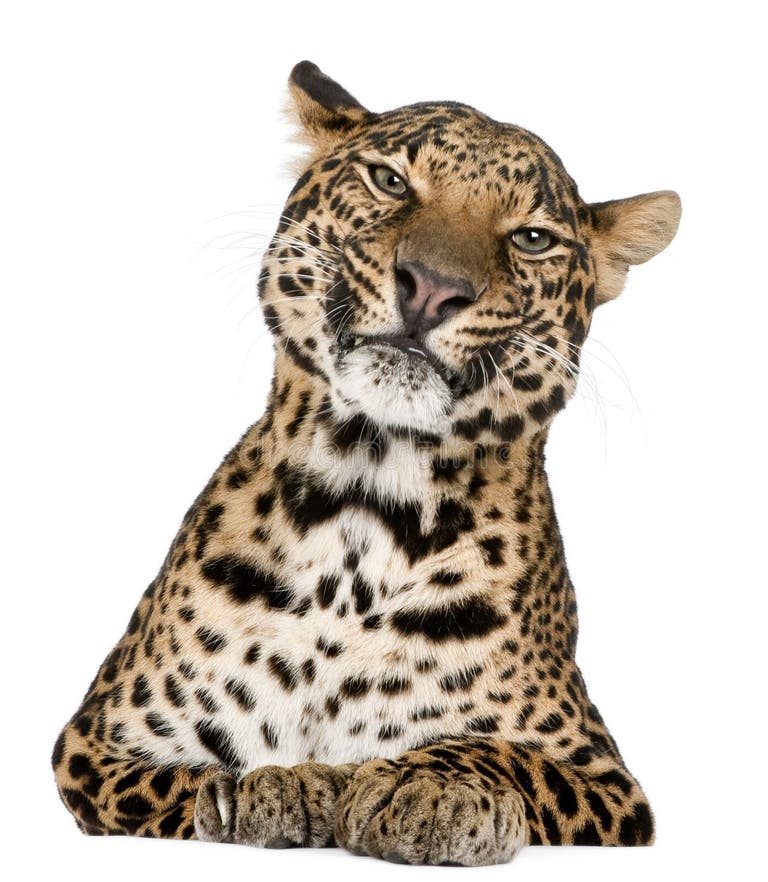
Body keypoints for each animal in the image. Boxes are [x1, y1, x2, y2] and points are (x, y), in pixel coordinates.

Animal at [52, 60, 681, 866]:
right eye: (389, 180)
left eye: (532, 238)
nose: (433, 287)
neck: (364, 494)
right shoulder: (96, 742)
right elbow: (191, 781)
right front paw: (275, 786)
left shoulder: (606, 777)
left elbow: (497, 752)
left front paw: (427, 790)